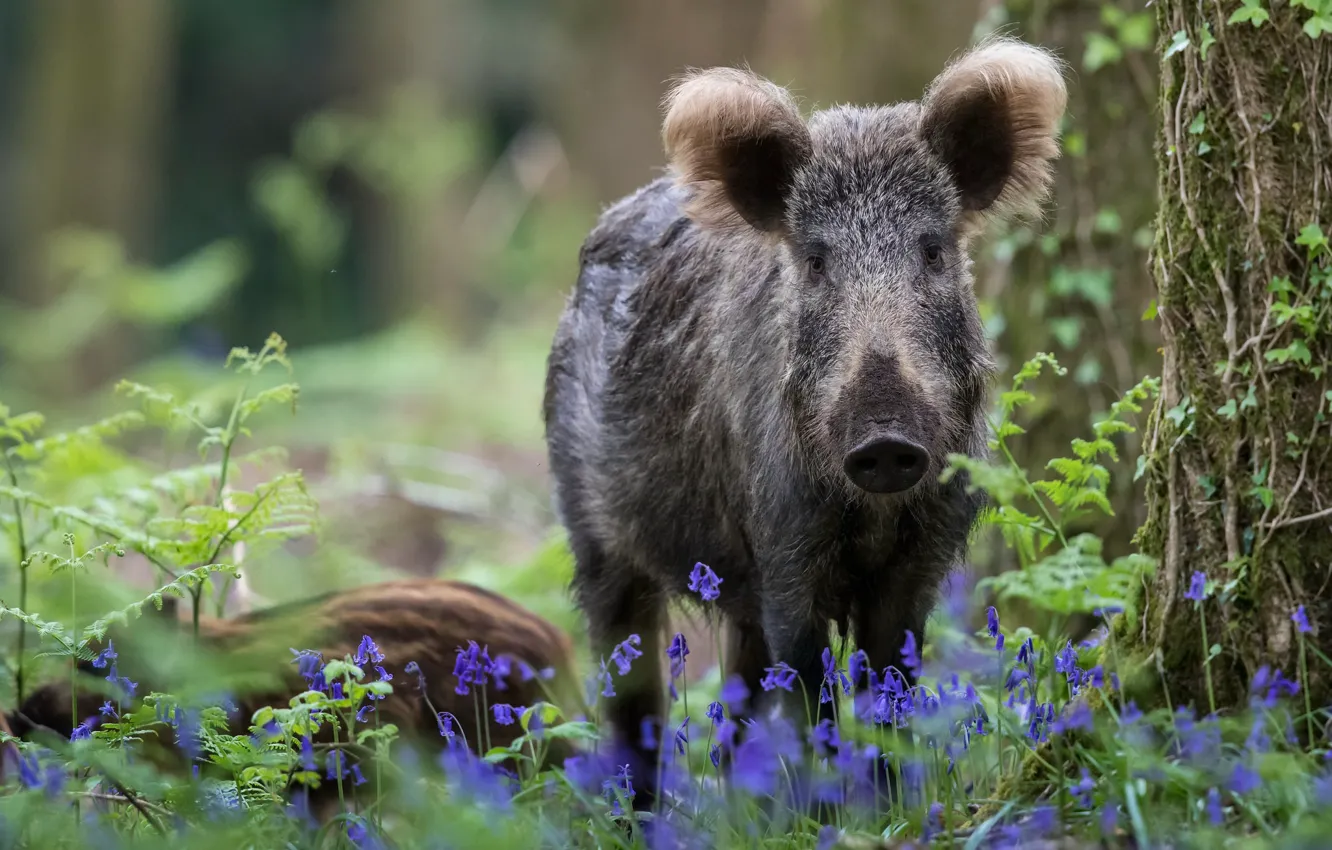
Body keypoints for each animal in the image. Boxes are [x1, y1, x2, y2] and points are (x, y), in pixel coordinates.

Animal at [542, 37, 1067, 804]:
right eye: (816, 261)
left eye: (933, 250)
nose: (885, 437)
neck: (871, 516)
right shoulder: (785, 544)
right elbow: (811, 699)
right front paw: (828, 814)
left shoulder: (925, 554)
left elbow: (890, 690)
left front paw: (888, 806)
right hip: (593, 533)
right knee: (631, 691)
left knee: (737, 699)